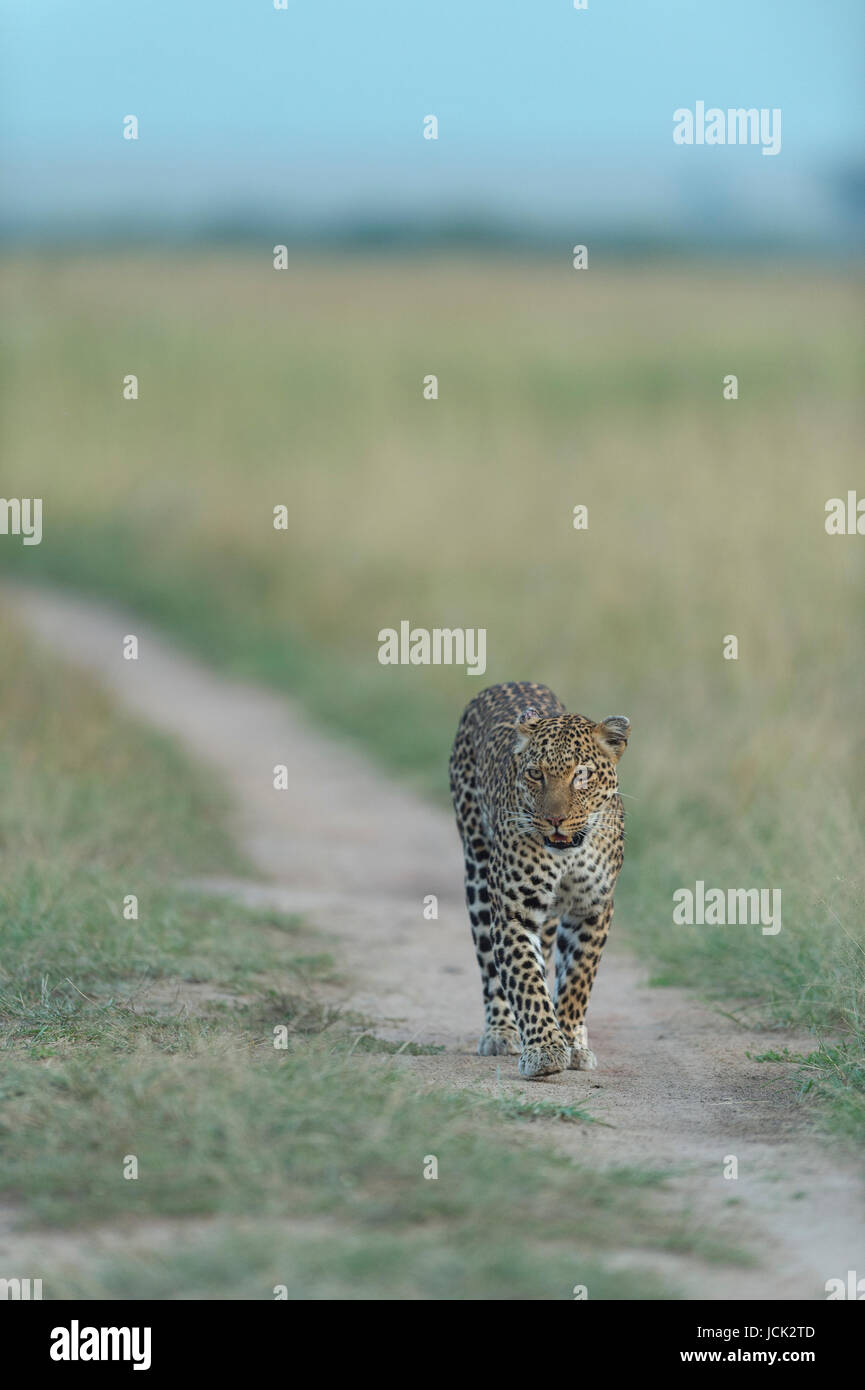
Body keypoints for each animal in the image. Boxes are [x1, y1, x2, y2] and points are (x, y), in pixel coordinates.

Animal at [449, 681, 630, 1079]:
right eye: (535, 774)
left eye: (581, 775)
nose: (555, 820)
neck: (569, 854)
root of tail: (507, 683)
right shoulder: (515, 912)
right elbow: (526, 980)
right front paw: (546, 1050)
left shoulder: (592, 909)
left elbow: (577, 979)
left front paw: (570, 1040)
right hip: (477, 870)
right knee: (493, 969)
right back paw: (501, 1032)